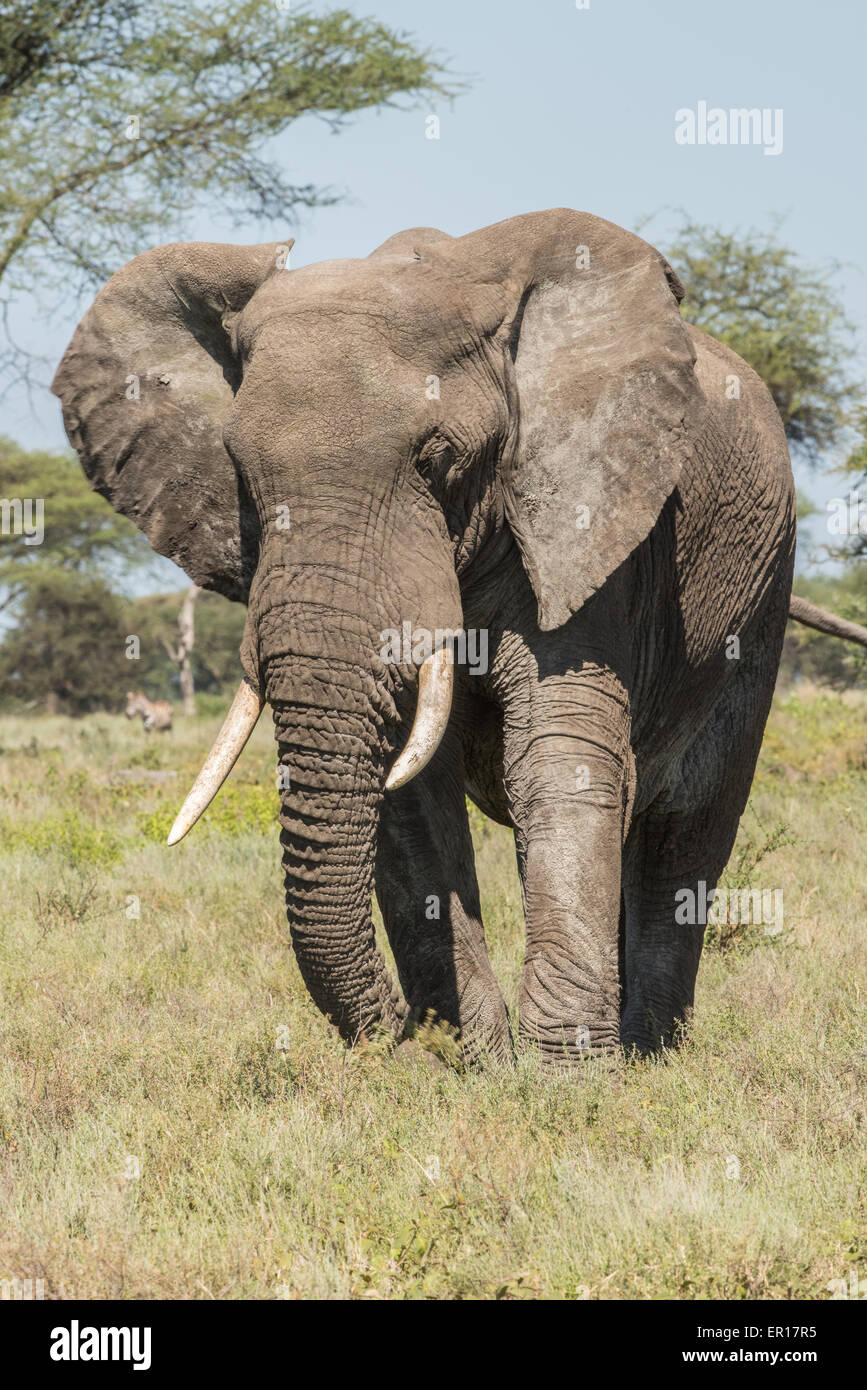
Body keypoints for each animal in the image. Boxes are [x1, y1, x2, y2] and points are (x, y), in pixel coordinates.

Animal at [52, 208, 867, 1064]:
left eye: (434, 458)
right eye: (239, 470)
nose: (395, 1031)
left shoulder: (589, 519)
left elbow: (558, 755)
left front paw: (566, 1078)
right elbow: (411, 792)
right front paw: (466, 1065)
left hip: (762, 585)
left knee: (689, 820)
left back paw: (650, 1051)